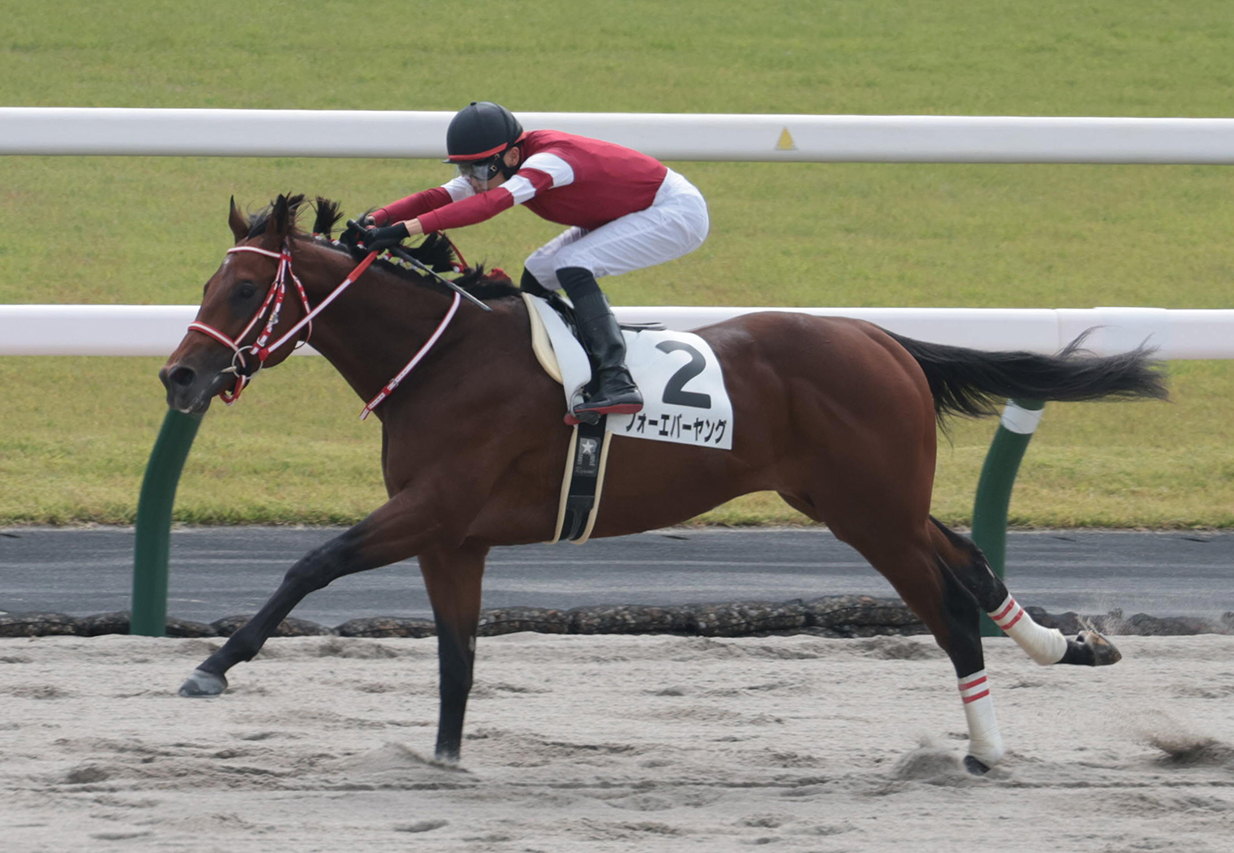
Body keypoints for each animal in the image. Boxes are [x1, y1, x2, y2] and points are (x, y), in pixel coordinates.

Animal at [160, 194, 1168, 774]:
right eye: (209, 283)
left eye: (243, 293)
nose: (179, 377)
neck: (440, 358)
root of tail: (882, 339)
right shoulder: (456, 535)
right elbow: (457, 656)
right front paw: (444, 760)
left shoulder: (430, 507)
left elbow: (314, 564)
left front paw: (212, 666)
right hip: (860, 499)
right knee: (966, 555)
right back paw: (1068, 646)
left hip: (869, 511)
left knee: (948, 604)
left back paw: (988, 748)